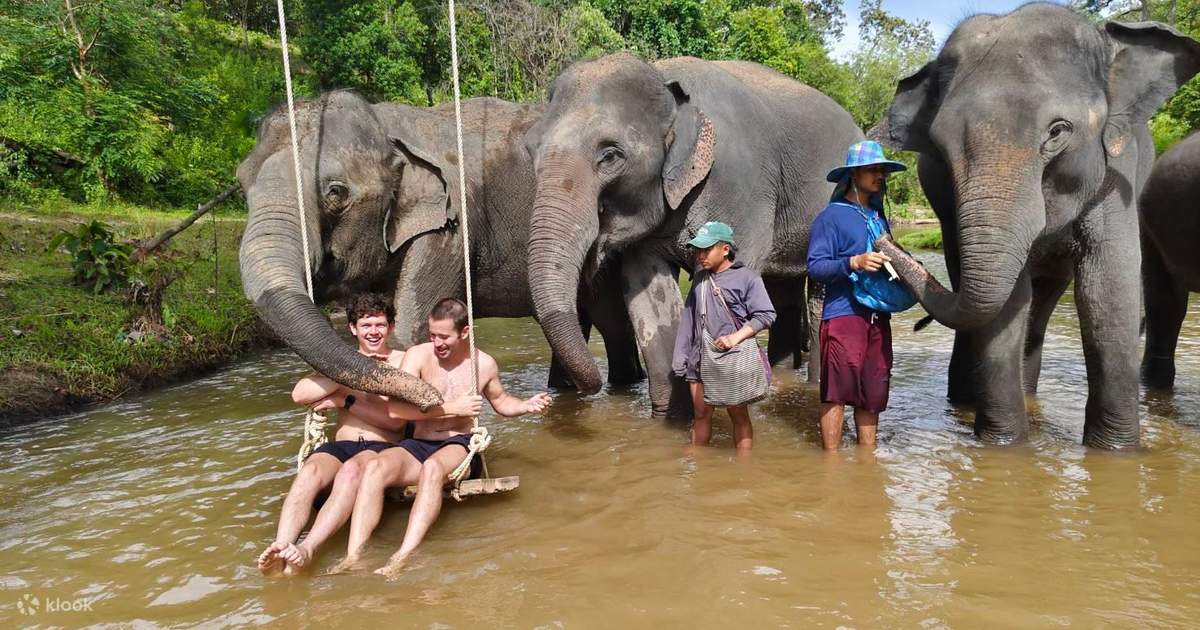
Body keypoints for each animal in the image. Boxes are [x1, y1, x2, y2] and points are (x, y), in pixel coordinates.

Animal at [237, 90, 644, 405]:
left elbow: (409, 331)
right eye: (241, 186)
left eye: (336, 193)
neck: (385, 125)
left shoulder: (451, 228)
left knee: (609, 321)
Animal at [523, 53, 863, 416]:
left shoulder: (741, 189)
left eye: (610, 154)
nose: (587, 388)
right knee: (781, 289)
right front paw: (671, 416)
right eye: (531, 150)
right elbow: (646, 291)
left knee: (821, 293)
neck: (665, 81)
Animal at [872, 3, 1200, 448]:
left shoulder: (1120, 171)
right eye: (939, 147)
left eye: (1058, 132)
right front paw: (1004, 448)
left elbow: (1106, 288)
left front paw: (1114, 452)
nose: (885, 238)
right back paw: (967, 402)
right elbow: (1011, 298)